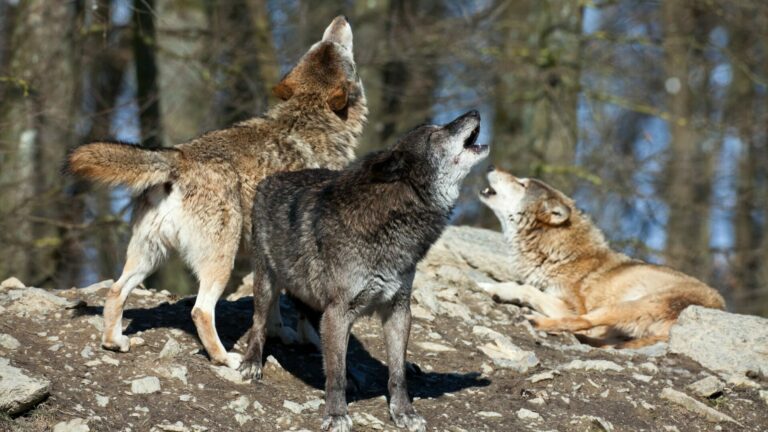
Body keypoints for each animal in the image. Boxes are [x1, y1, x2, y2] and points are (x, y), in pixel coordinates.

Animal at [66, 16, 367, 369]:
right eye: (335, 47)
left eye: (323, 46)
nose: (340, 19)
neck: (309, 118)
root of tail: (180, 157)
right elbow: (305, 312)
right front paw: (317, 345)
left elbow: (271, 305)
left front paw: (280, 333)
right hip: (220, 260)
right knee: (200, 310)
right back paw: (225, 358)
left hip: (149, 256)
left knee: (115, 292)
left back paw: (115, 342)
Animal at [239, 111, 487, 432]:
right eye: (436, 133)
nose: (475, 113)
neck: (394, 221)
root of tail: (271, 178)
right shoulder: (339, 310)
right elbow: (334, 376)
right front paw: (336, 414)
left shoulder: (398, 310)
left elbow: (397, 373)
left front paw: (403, 412)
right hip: (267, 282)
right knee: (258, 323)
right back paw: (251, 363)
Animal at [478, 168, 725, 348]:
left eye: (522, 184)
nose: (491, 166)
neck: (557, 253)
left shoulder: (573, 307)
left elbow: (527, 289)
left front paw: (490, 287)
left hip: (625, 305)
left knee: (583, 323)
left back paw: (534, 320)